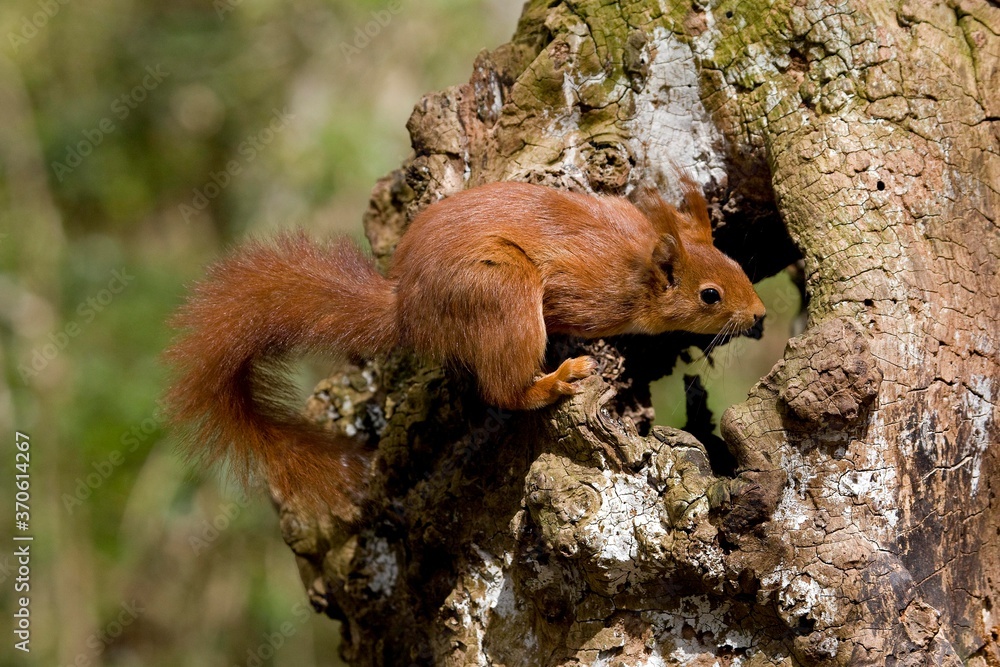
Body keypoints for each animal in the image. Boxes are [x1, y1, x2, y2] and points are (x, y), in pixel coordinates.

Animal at [163, 180, 766, 514]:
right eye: (710, 296)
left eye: (737, 264)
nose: (759, 317)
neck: (636, 260)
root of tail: (408, 307)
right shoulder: (585, 291)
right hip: (502, 292)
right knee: (504, 388)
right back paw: (558, 378)